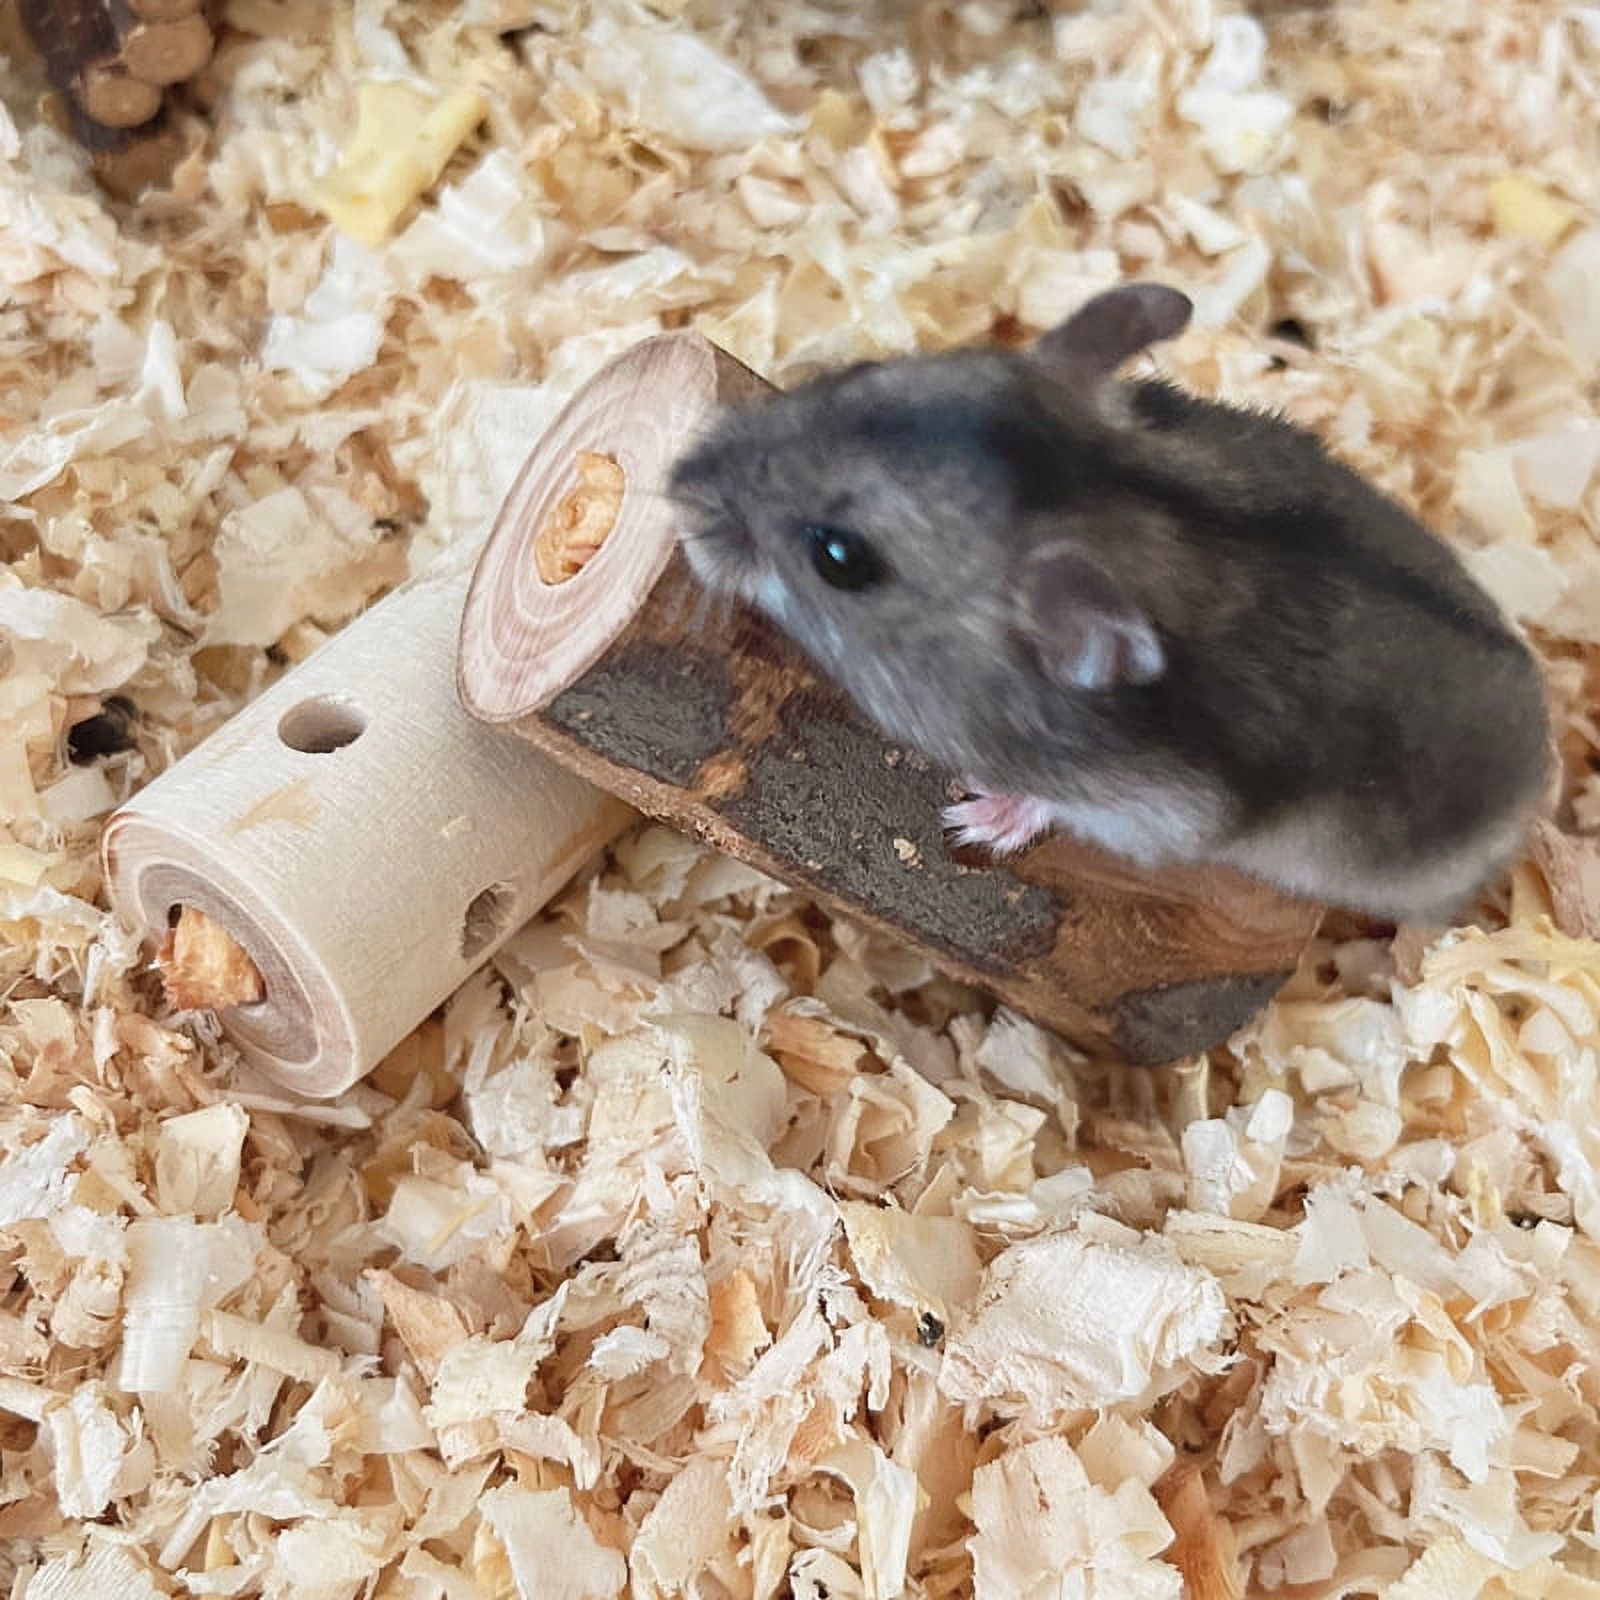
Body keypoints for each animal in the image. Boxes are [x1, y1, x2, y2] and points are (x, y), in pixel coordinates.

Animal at [667, 283, 1552, 922]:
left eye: (839, 559)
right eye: (853, 376)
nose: (677, 484)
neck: (1124, 508)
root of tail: (1543, 768)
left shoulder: (1156, 809)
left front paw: (973, 820)